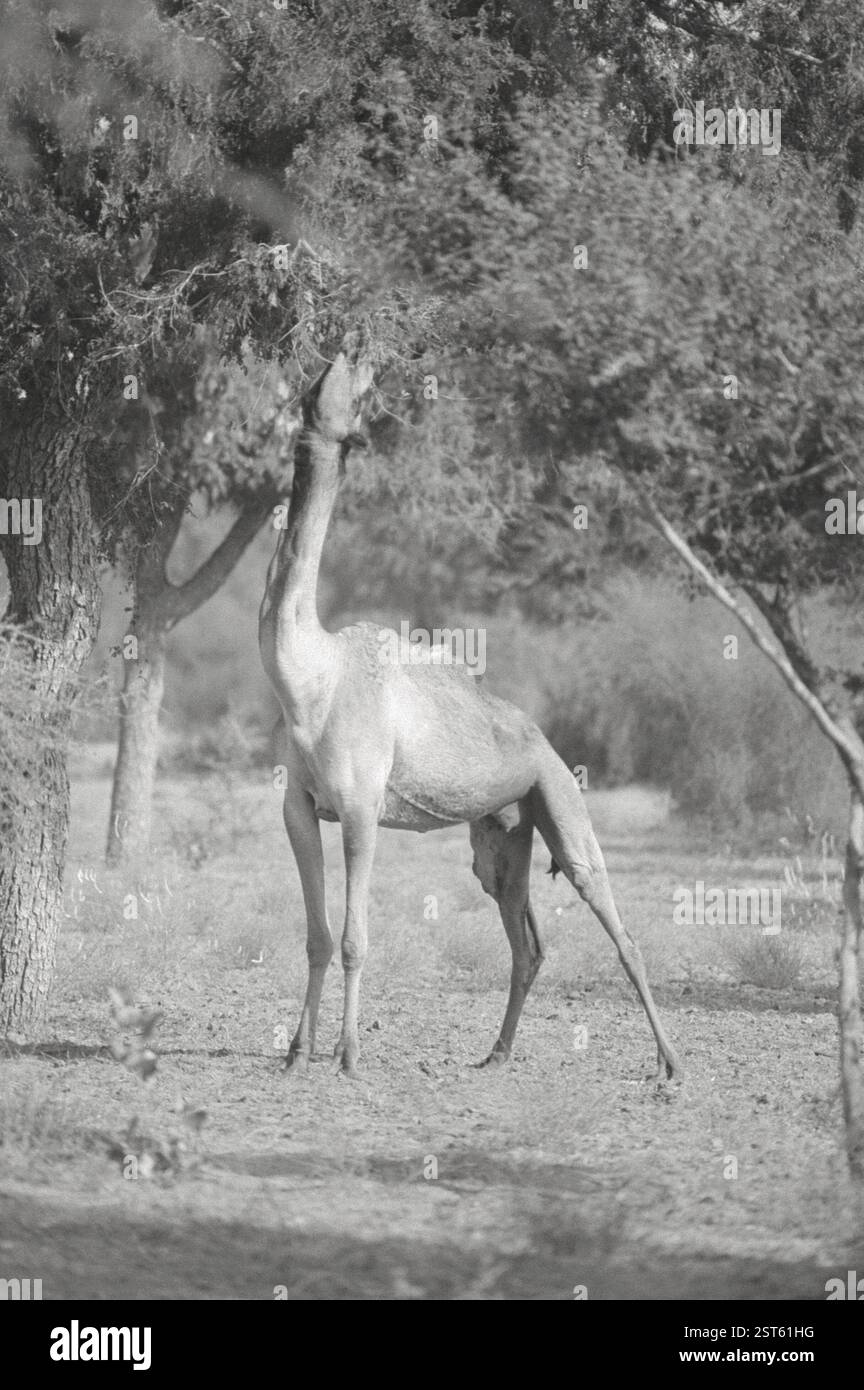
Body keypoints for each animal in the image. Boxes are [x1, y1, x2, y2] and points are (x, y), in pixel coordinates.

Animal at [258, 340, 681, 1081]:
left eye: (355, 395)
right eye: (316, 389)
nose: (354, 350)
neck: (310, 678)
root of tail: (543, 740)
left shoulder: (361, 807)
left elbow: (353, 938)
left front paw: (347, 1054)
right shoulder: (299, 808)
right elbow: (315, 935)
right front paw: (294, 1054)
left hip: (560, 797)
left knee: (614, 921)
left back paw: (670, 1065)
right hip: (502, 833)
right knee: (527, 941)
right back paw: (496, 1053)